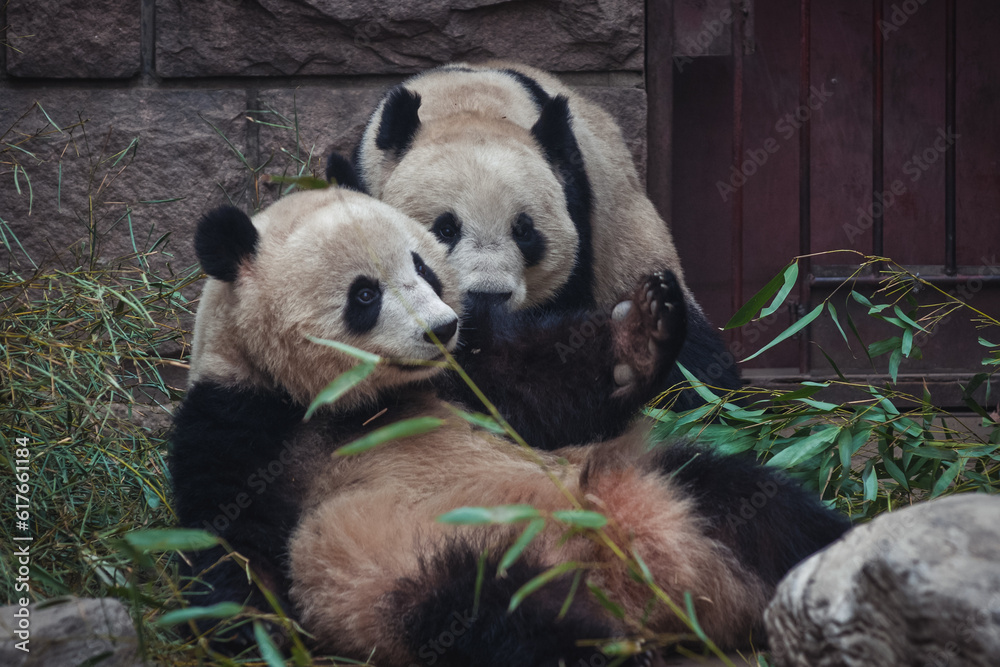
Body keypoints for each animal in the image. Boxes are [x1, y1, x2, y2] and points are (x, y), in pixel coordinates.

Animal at [171, 187, 850, 665]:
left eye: (424, 266)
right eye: (364, 294)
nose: (440, 328)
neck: (360, 404)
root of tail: (636, 582)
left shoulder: (464, 376)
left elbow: (543, 390)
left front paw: (643, 328)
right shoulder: (241, 422)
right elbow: (230, 546)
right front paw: (254, 631)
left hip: (639, 481)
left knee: (755, 506)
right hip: (403, 565)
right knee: (490, 614)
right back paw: (604, 647)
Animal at [332, 61, 742, 414]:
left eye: (524, 231)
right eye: (445, 229)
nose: (487, 297)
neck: (468, 107)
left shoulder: (578, 210)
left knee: (696, 363)